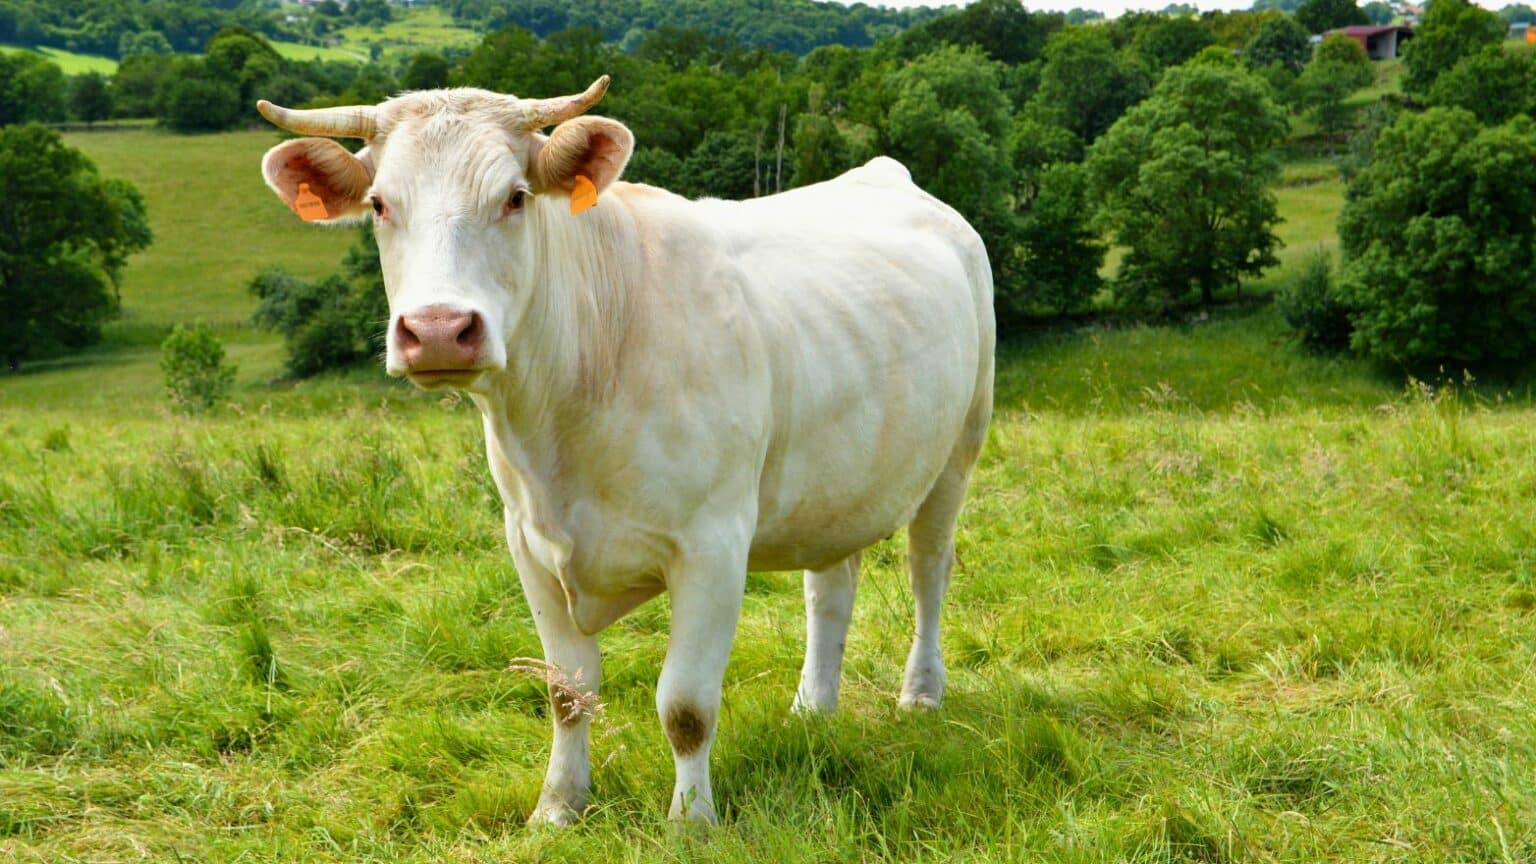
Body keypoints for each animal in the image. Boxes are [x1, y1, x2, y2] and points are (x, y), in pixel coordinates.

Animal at [255, 76, 994, 825]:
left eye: (515, 196)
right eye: (380, 204)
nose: (437, 330)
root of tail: (884, 173)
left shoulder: (713, 545)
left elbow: (686, 706)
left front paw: (692, 823)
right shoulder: (528, 544)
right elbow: (566, 691)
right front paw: (557, 807)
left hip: (959, 447)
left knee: (929, 570)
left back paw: (921, 692)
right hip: (838, 482)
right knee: (830, 589)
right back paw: (813, 708)